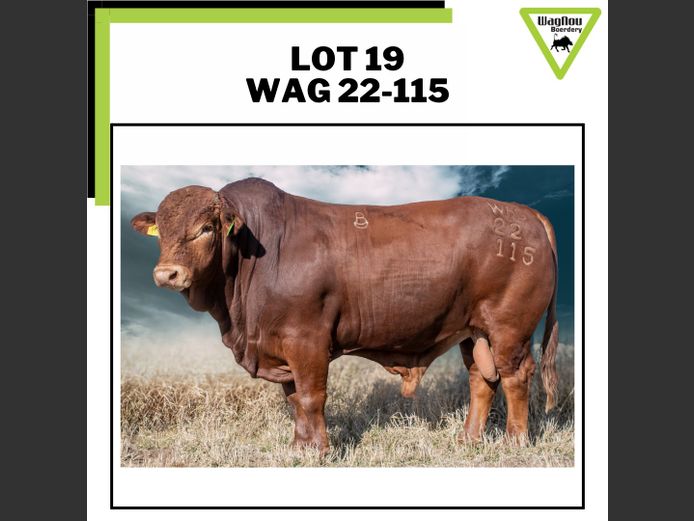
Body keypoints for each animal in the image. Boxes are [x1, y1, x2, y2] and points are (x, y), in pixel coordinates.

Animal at [131, 177, 559, 453]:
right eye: (161, 230)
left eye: (206, 228)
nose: (166, 274)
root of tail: (523, 213)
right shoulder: (283, 348)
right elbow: (294, 399)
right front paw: (300, 448)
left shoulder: (307, 340)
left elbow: (311, 397)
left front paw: (320, 451)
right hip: (473, 332)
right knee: (481, 380)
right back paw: (468, 440)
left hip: (509, 328)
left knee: (515, 377)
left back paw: (515, 442)